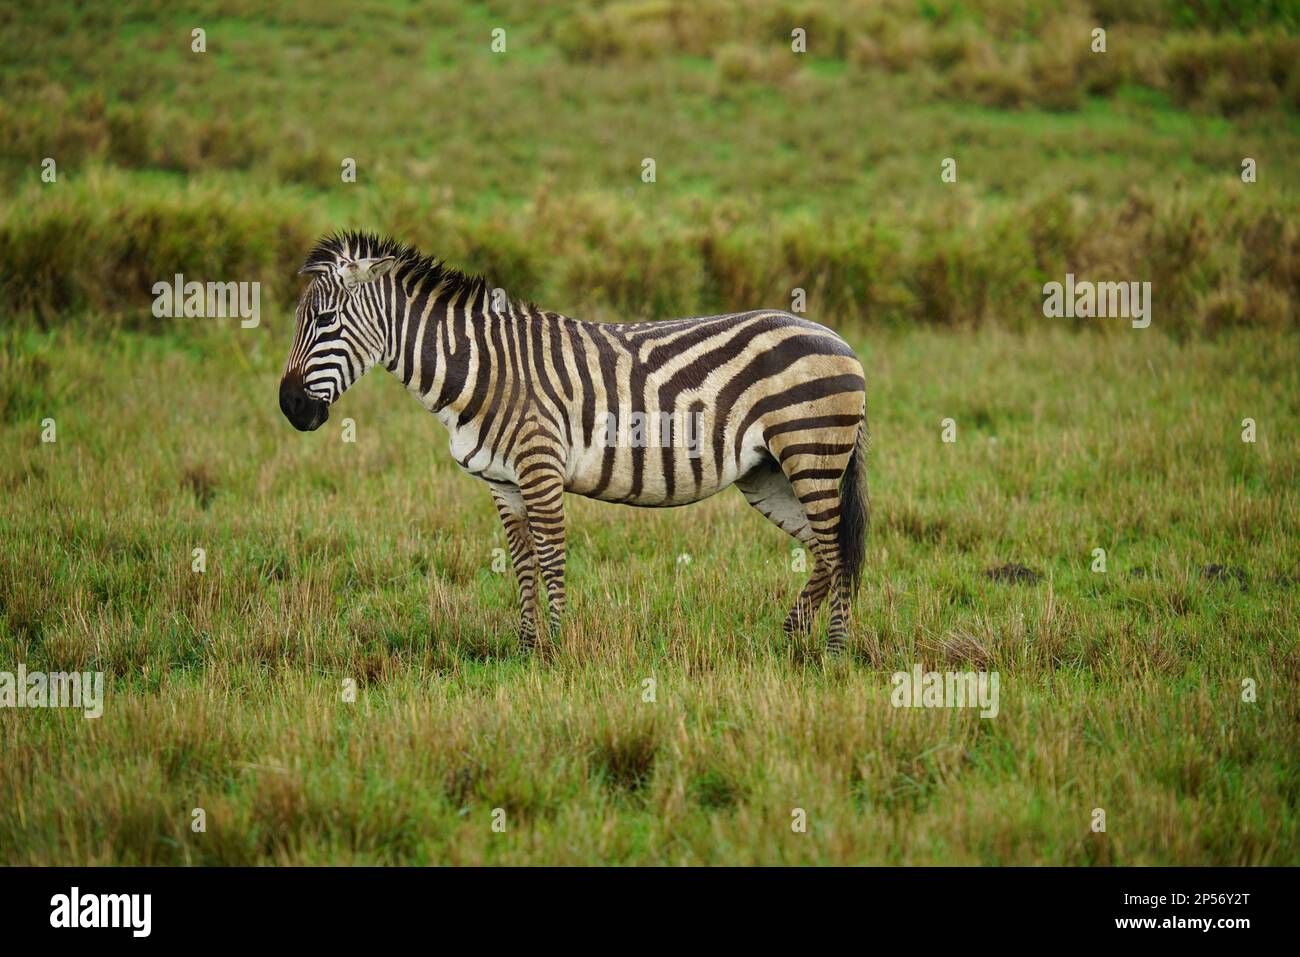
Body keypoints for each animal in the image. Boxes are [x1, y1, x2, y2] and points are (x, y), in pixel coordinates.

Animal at [279, 232, 869, 653]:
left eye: (326, 320)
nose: (290, 408)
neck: (483, 371)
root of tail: (840, 340)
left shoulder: (539, 467)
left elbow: (551, 556)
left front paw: (558, 650)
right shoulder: (502, 483)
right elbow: (522, 563)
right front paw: (525, 648)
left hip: (810, 455)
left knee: (837, 548)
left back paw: (833, 652)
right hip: (767, 473)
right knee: (821, 550)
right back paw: (788, 639)